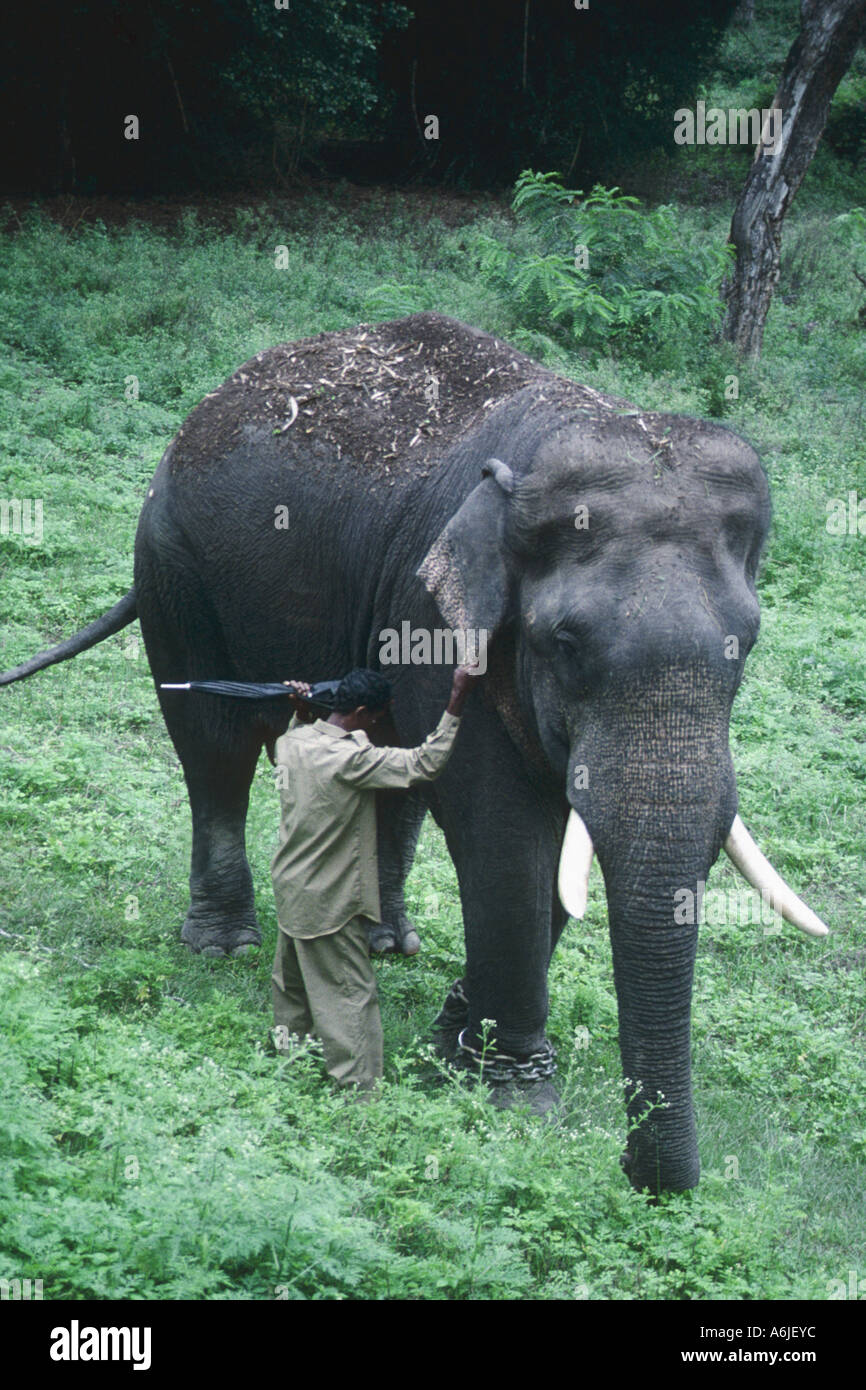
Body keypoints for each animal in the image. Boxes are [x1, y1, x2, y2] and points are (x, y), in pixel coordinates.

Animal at [0, 312, 828, 1193]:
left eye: (747, 646)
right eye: (566, 643)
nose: (648, 1180)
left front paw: (455, 1038)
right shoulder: (433, 616)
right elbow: (504, 834)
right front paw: (509, 1096)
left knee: (387, 770)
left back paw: (386, 943)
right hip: (174, 567)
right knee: (213, 747)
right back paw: (226, 943)